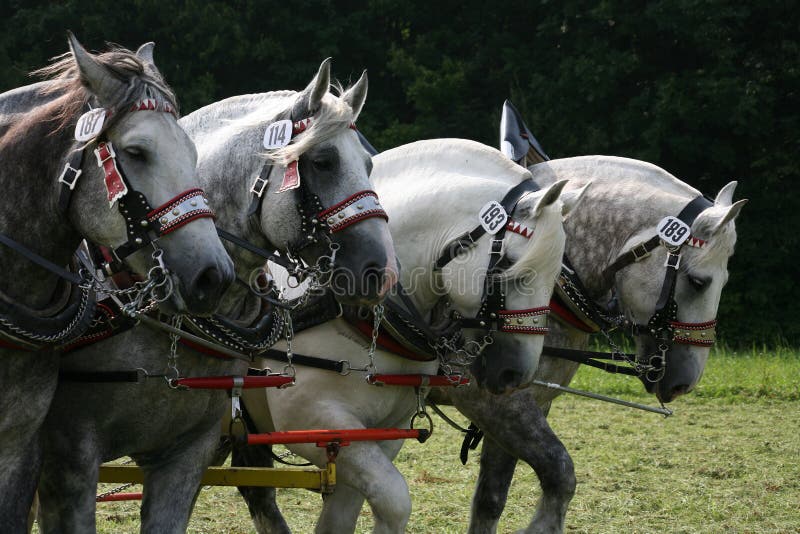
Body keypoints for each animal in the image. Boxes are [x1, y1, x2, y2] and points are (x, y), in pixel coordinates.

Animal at [233, 138, 585, 533]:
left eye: (558, 273)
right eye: (510, 265)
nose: (516, 374)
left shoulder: (380, 433)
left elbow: (345, 515)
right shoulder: (308, 421)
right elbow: (395, 499)